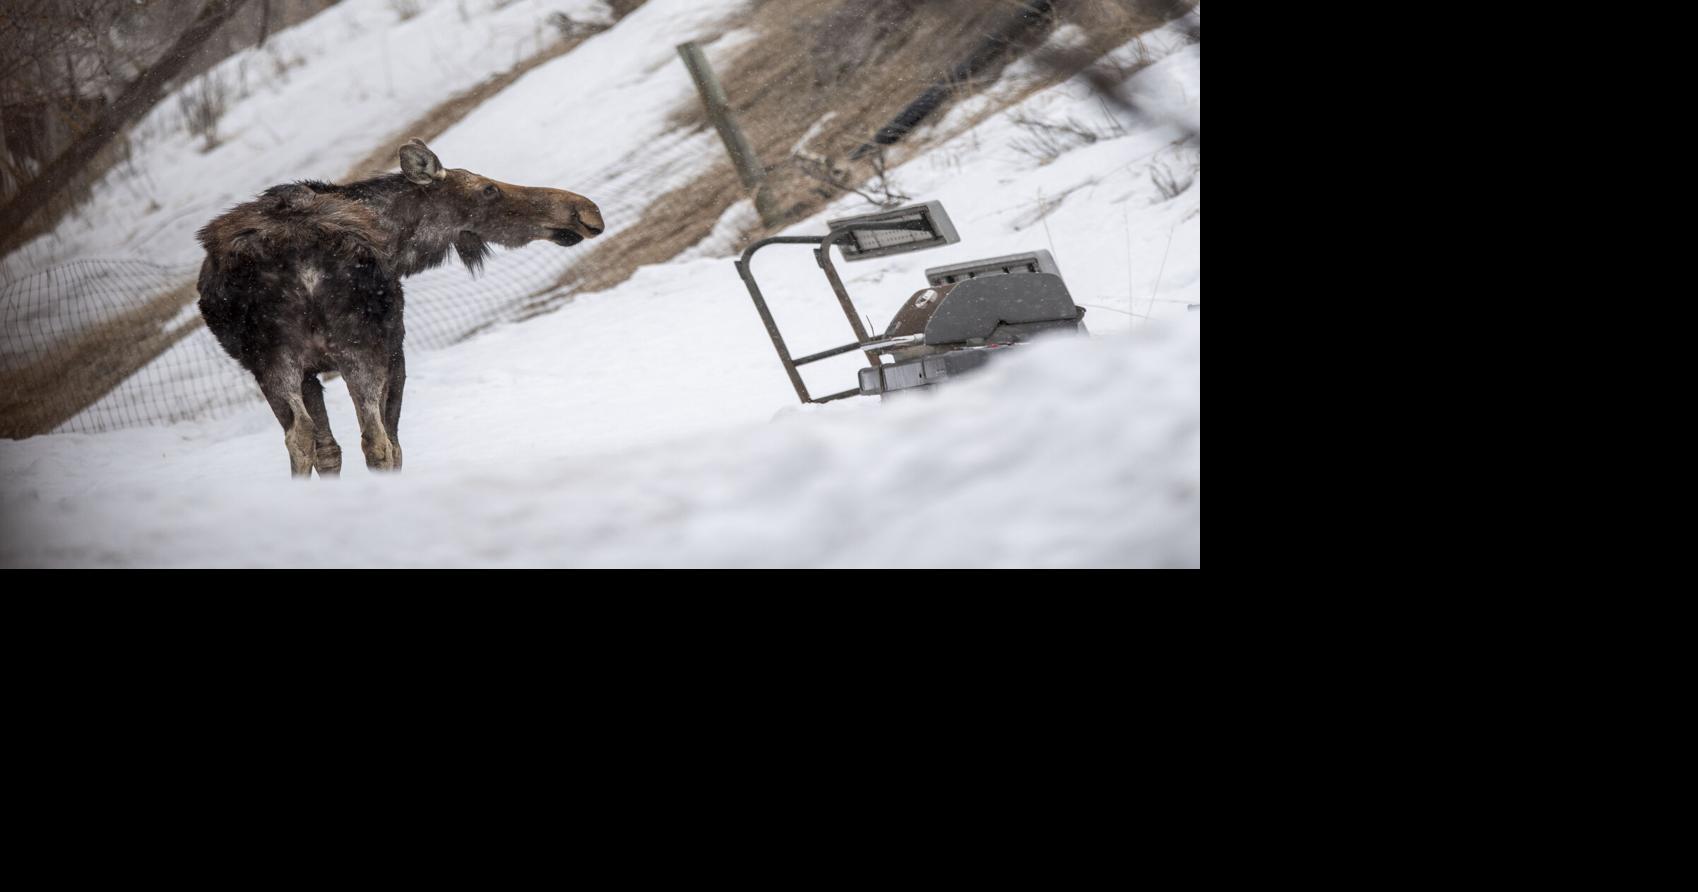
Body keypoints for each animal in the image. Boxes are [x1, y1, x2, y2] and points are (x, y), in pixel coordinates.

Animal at [196, 138, 603, 478]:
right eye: (488, 189)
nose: (586, 211)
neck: (396, 242)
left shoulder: (309, 372)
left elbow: (329, 451)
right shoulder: (396, 351)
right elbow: (394, 444)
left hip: (271, 364)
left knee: (301, 438)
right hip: (360, 349)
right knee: (377, 442)